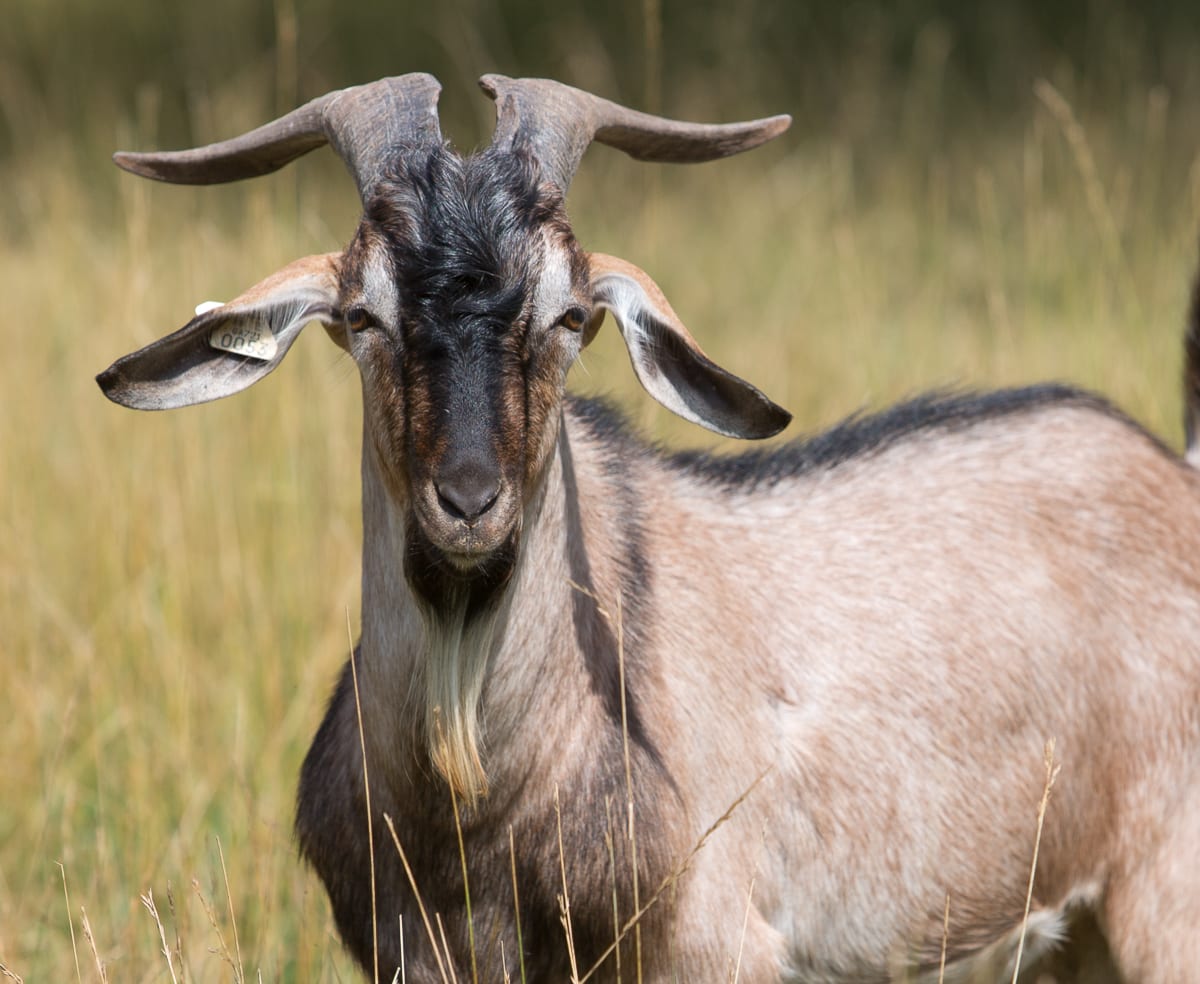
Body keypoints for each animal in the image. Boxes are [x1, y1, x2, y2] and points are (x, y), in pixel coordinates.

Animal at [98, 73, 1200, 983]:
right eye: (361, 316)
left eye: (570, 314)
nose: (469, 502)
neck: (478, 798)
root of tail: (1176, 475)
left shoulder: (712, 952)